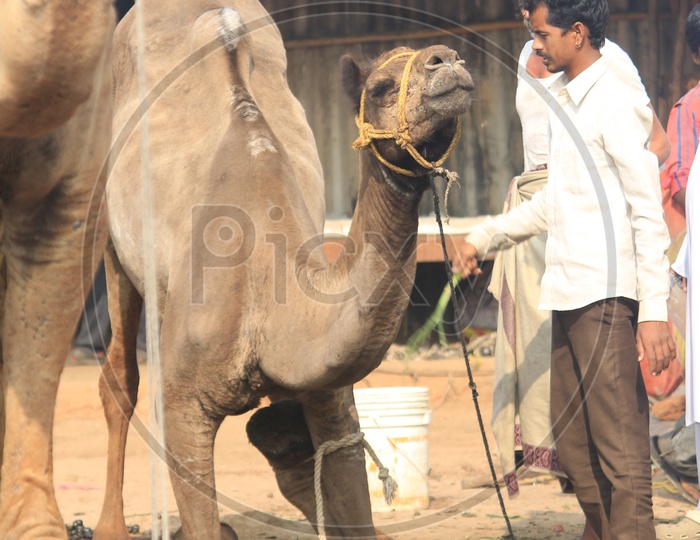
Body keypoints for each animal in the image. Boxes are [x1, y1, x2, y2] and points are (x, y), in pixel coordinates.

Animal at [95, 1, 473, 539]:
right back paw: (110, 524)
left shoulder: (331, 396)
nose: (448, 59)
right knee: (120, 375)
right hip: (112, 241)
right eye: (380, 86)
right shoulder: (182, 408)